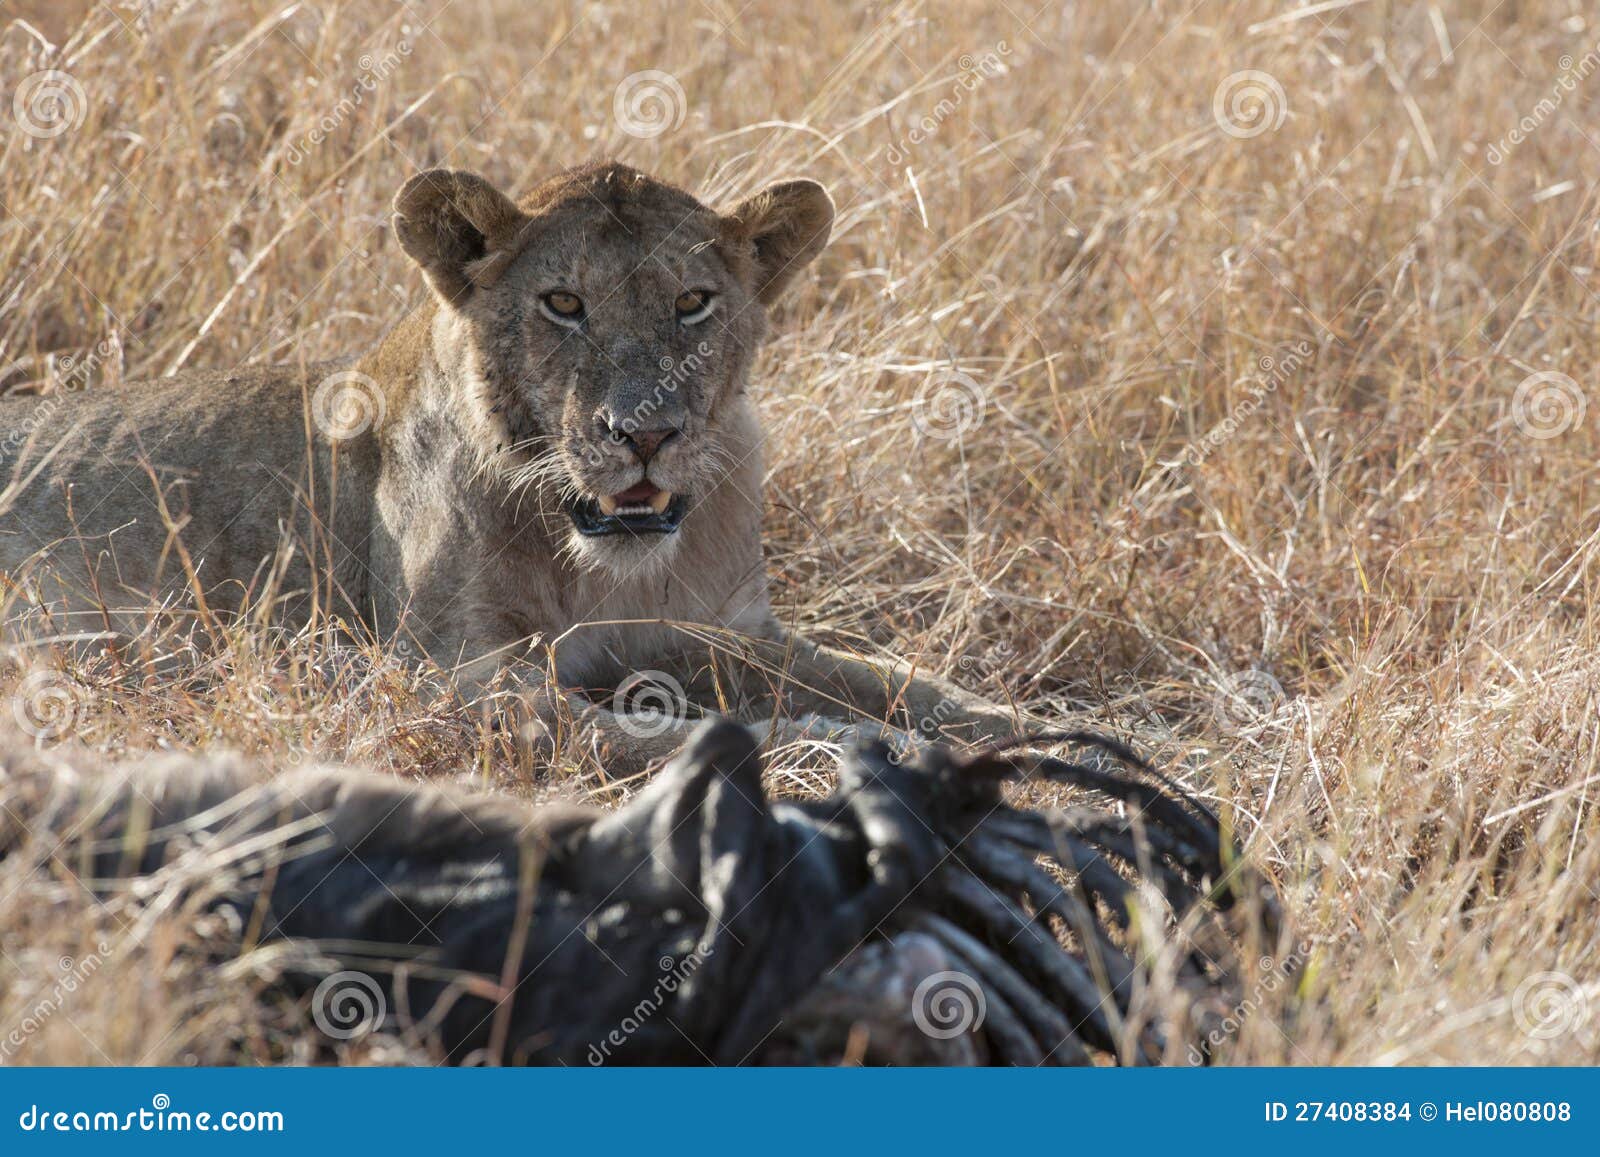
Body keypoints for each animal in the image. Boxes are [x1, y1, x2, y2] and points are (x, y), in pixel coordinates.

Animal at [0, 161, 1015, 770]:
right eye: (563, 303)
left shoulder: (722, 630)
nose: (645, 432)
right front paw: (838, 747)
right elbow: (647, 732)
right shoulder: (444, 669)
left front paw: (1013, 729)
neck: (597, 566)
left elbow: (891, 677)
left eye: (693, 302)